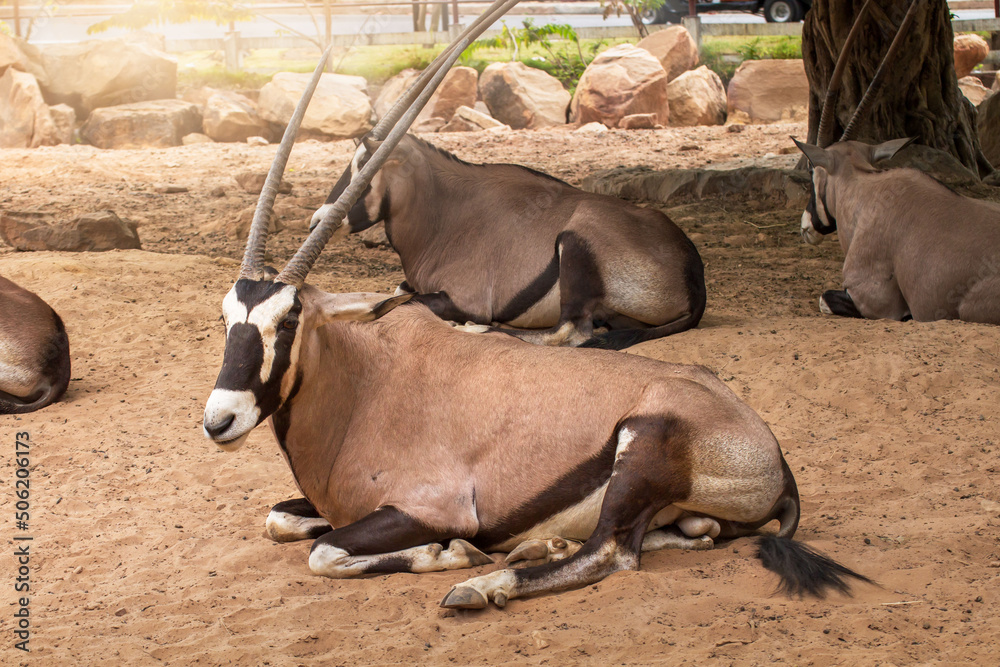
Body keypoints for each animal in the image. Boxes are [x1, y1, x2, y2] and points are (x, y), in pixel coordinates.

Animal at [308, 136, 705, 350]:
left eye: (365, 168)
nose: (318, 221)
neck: (445, 214)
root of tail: (693, 270)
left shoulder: (463, 299)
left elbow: (407, 303)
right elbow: (395, 293)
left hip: (576, 238)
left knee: (571, 333)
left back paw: (476, 330)